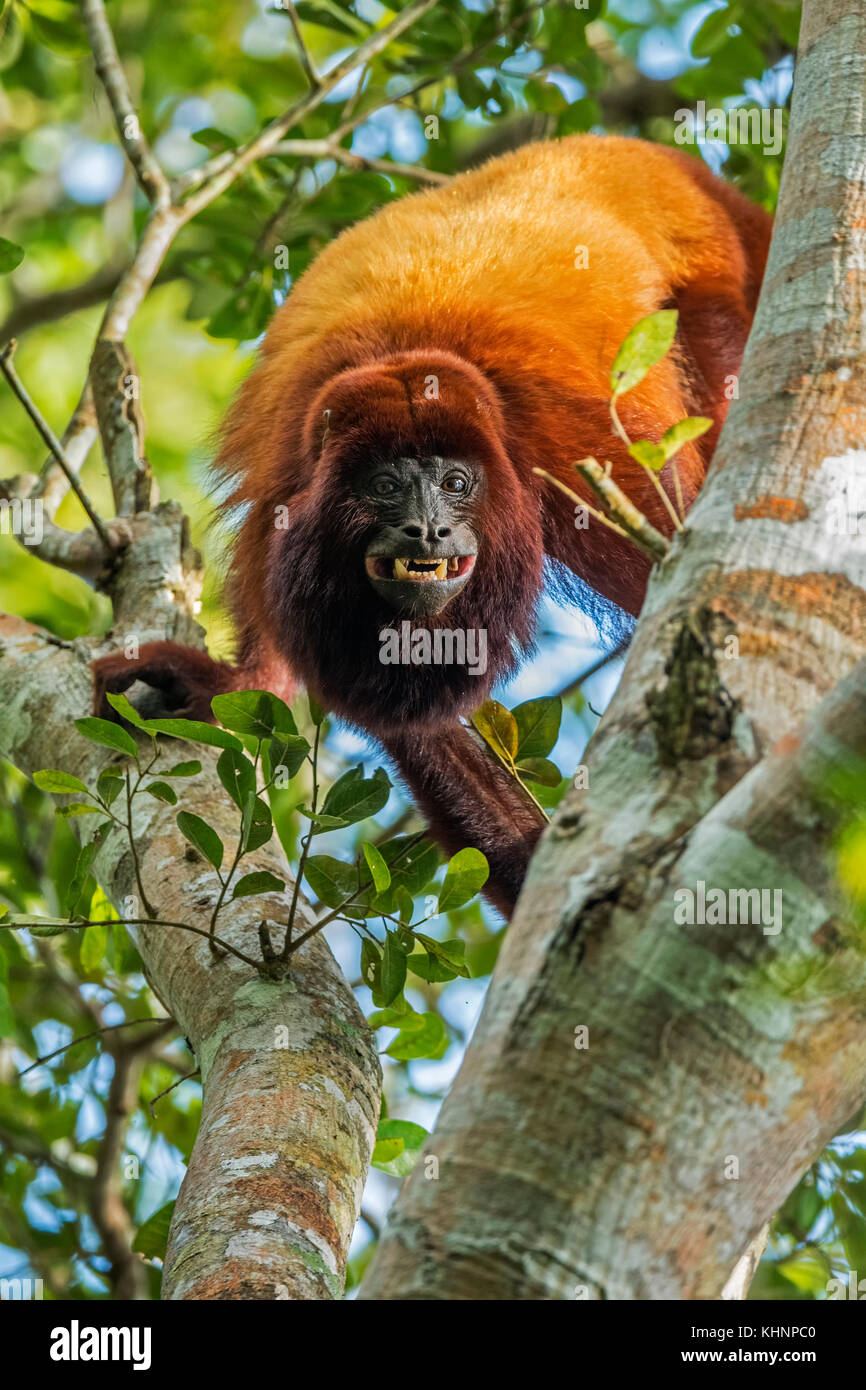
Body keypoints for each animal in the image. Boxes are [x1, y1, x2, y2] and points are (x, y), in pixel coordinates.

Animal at [94, 134, 772, 916]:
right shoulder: (283, 507)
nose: (427, 531)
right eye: (386, 487)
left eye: (455, 484)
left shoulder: (579, 454)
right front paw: (214, 683)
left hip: (719, 284)